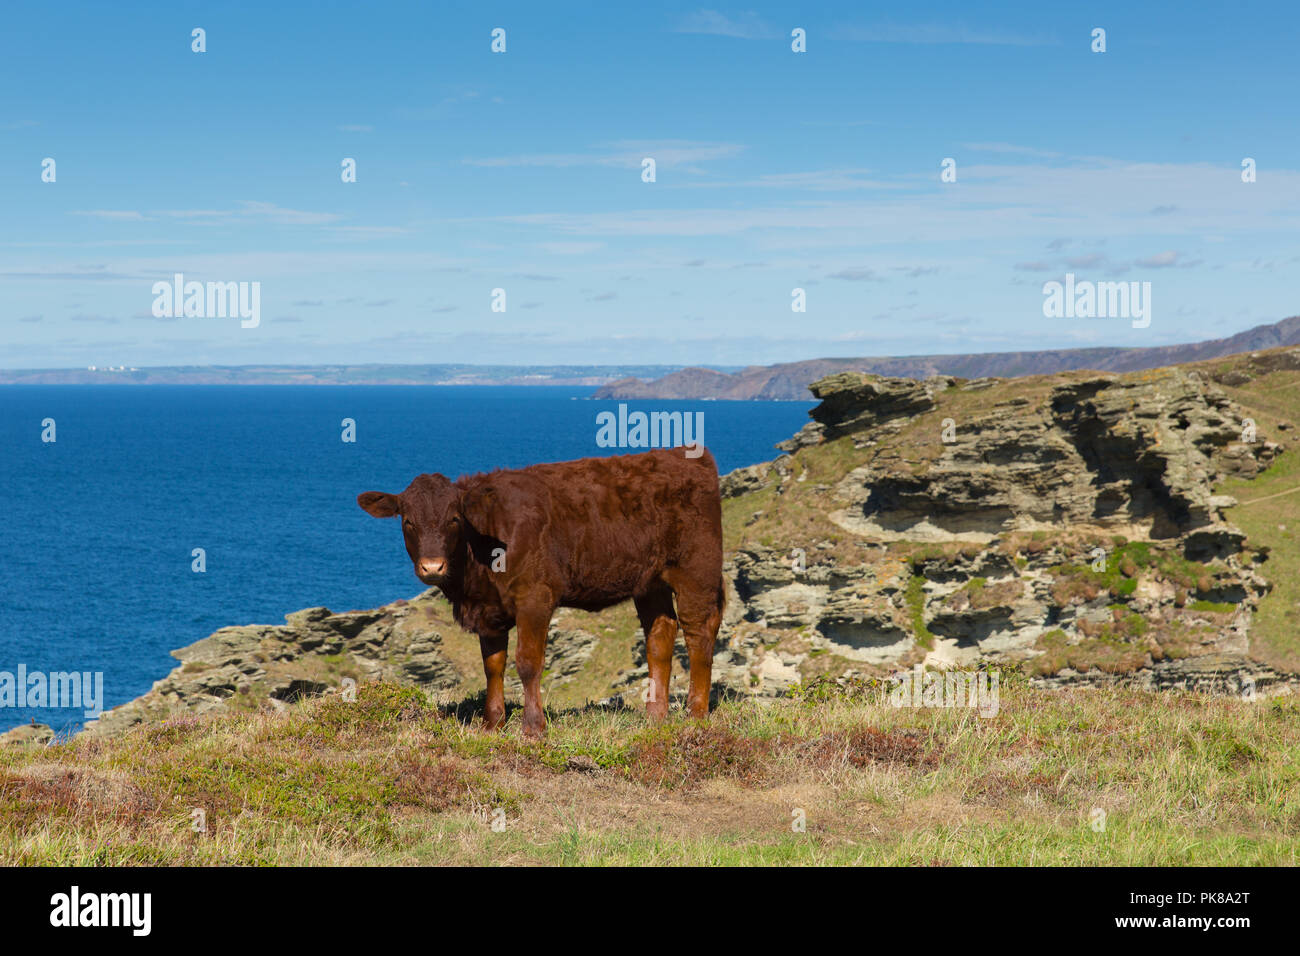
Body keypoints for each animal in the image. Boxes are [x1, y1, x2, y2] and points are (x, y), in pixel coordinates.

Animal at [357, 447, 725, 737]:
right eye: (408, 521)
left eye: (454, 519)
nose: (432, 567)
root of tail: (683, 453)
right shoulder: (488, 610)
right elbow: (493, 664)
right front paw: (492, 724)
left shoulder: (535, 596)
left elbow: (528, 662)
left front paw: (533, 727)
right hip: (650, 582)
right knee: (660, 634)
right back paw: (655, 718)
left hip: (696, 569)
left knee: (698, 630)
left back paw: (696, 715)